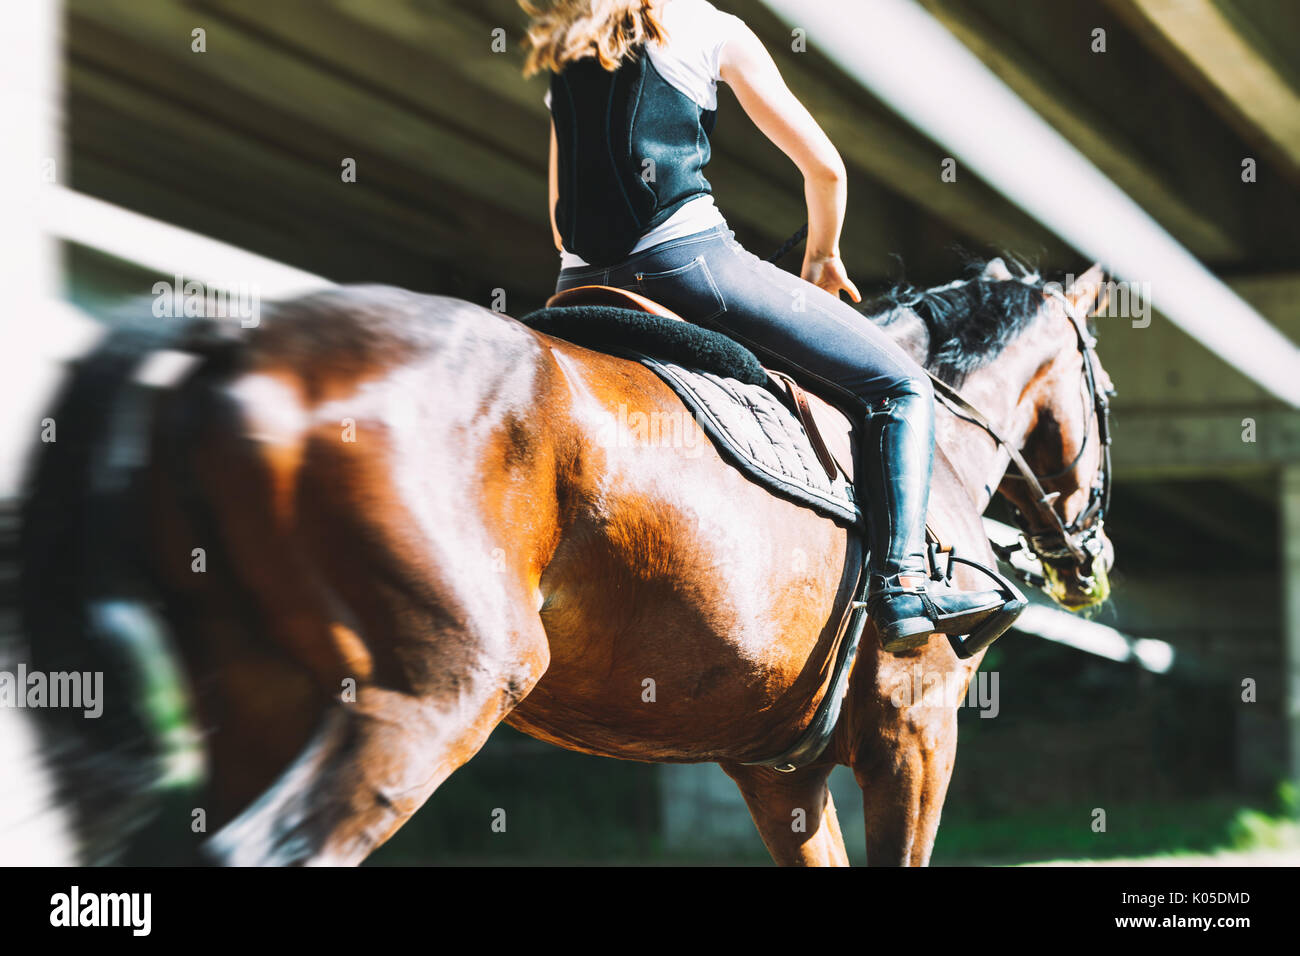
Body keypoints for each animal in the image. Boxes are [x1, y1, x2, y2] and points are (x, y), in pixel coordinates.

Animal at [18, 257, 1114, 866]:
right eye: (1104, 388)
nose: (1090, 555)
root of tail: (235, 344)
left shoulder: (779, 768)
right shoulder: (914, 727)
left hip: (261, 696)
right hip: (439, 687)